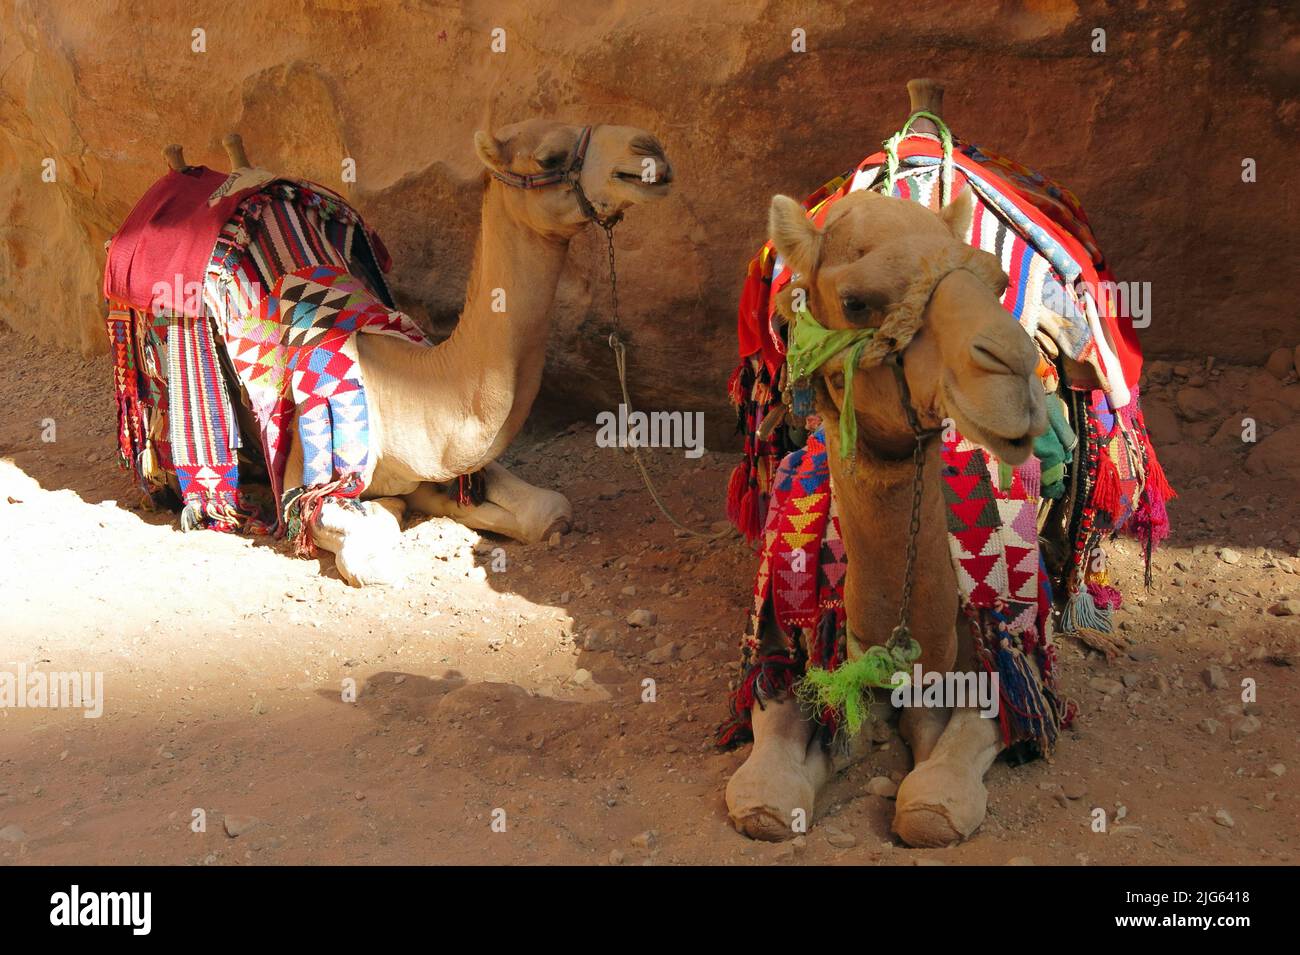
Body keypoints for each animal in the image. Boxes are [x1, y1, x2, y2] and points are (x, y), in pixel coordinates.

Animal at [277, 120, 673, 586]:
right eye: (549, 157)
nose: (649, 150)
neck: (404, 385)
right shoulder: (303, 480)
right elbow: (368, 554)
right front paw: (395, 507)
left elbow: (549, 511)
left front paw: (431, 501)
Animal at [724, 98, 1052, 848]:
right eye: (857, 302)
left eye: (995, 281)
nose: (1014, 371)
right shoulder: (790, 635)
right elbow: (769, 748)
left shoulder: (998, 648)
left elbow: (951, 769)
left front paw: (934, 793)